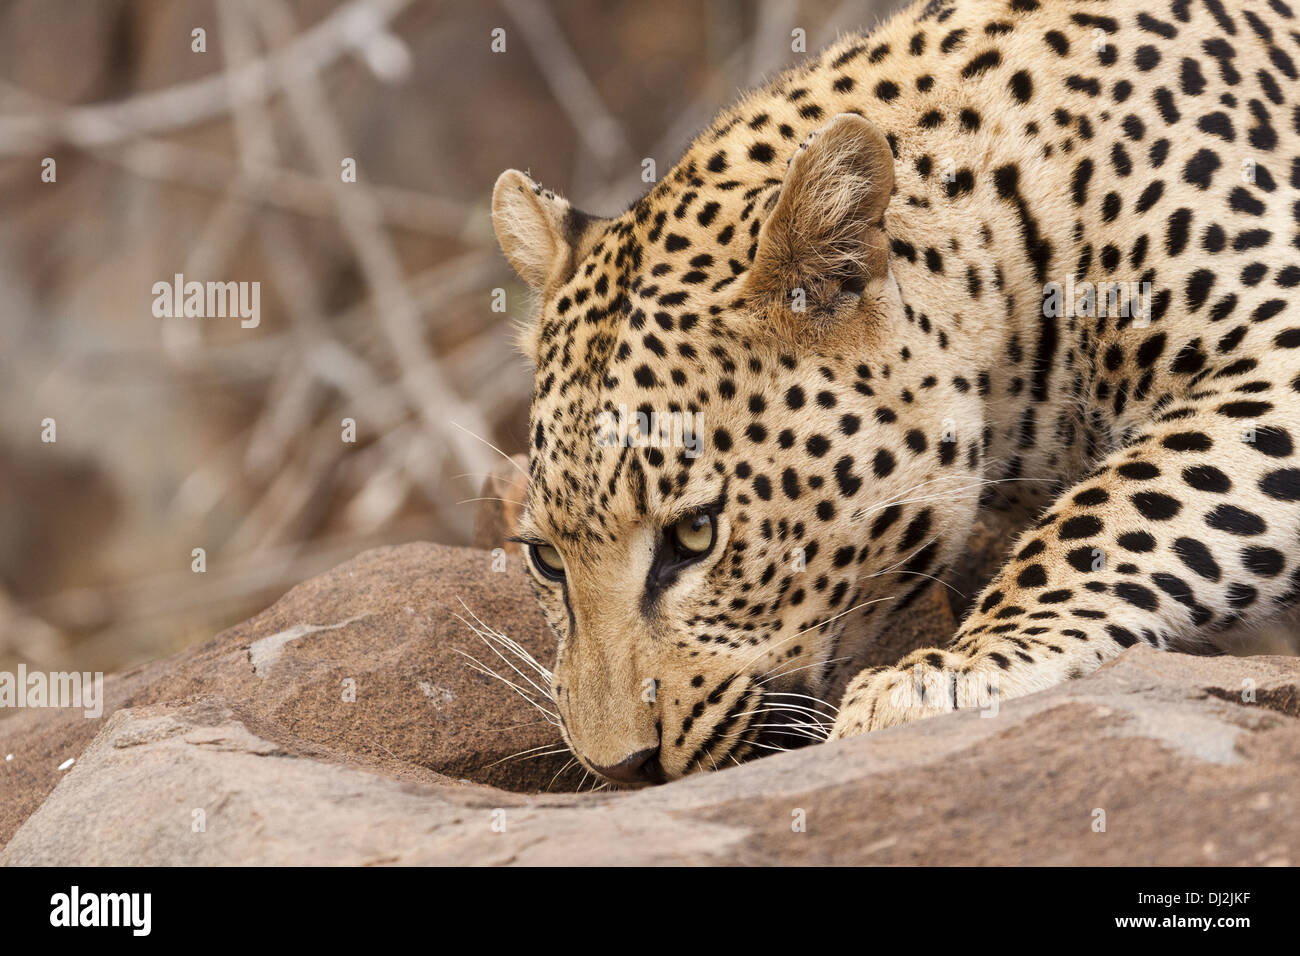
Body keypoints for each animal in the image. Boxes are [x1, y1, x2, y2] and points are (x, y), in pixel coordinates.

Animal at [489, 0, 1300, 786]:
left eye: (695, 534)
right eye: (547, 560)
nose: (618, 766)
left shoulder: (1277, 352)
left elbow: (1114, 510)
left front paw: (955, 672)